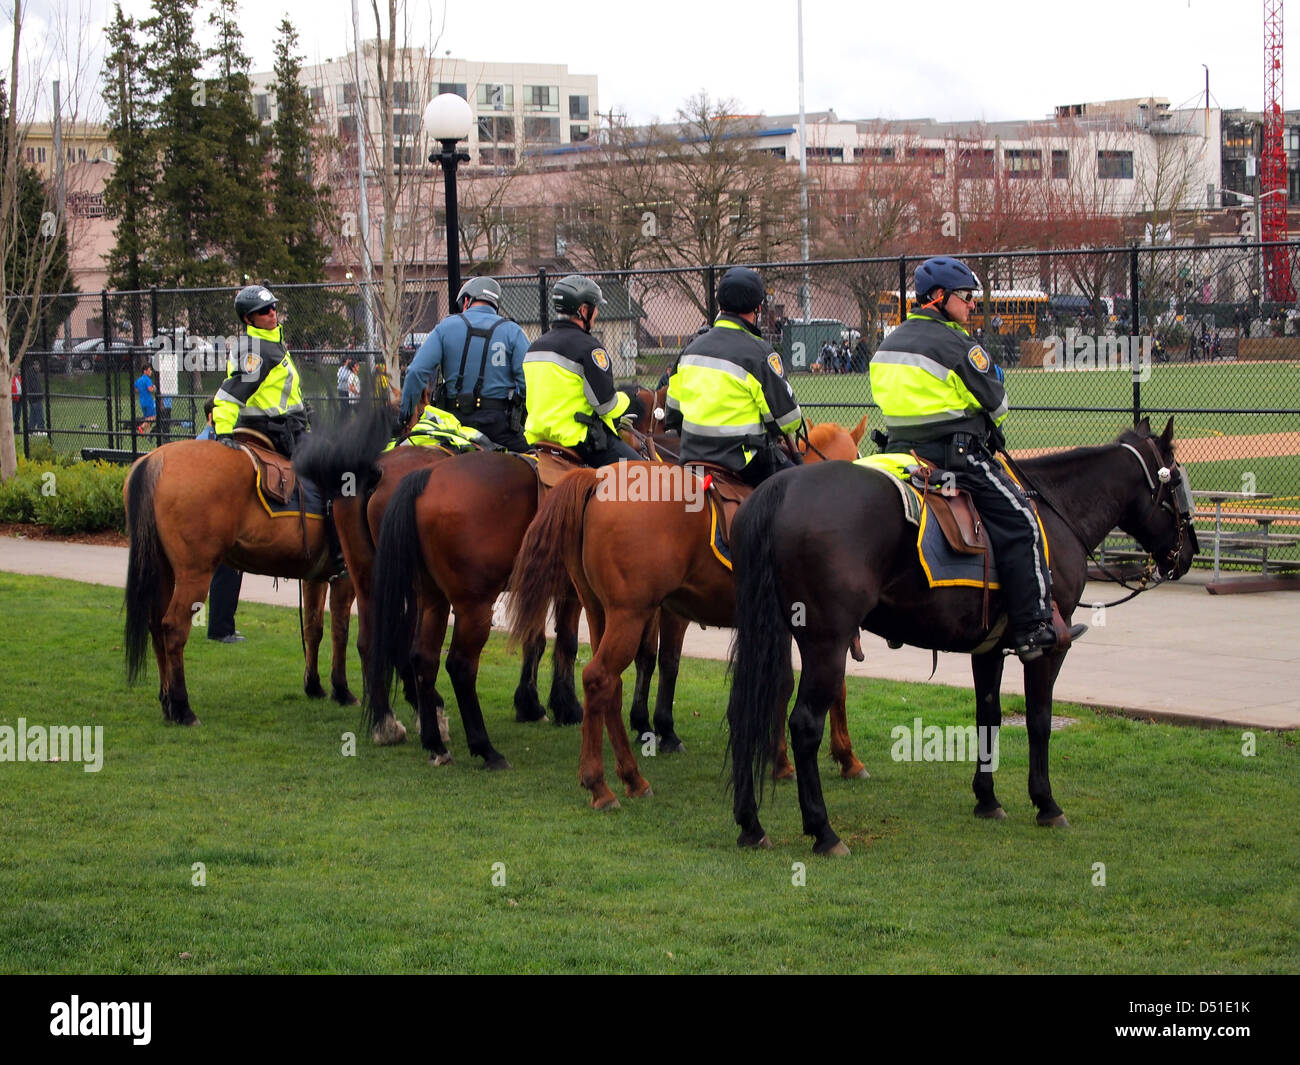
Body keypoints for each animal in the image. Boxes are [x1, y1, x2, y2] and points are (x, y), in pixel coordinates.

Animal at [123, 439, 357, 727]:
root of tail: (156, 458)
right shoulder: (347, 579)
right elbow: (341, 632)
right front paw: (341, 689)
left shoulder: (316, 579)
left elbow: (313, 629)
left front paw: (313, 685)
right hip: (195, 574)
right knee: (173, 628)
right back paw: (182, 707)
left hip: (162, 570)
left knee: (156, 626)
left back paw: (167, 702)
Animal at [506, 417, 870, 810]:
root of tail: (597, 479)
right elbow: (827, 686)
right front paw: (843, 757)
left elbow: (781, 682)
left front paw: (782, 761)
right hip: (629, 615)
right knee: (598, 678)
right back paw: (599, 784)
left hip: (597, 610)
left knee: (609, 685)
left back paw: (632, 777)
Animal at [725, 417, 1199, 855]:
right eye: (1177, 482)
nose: (1188, 553)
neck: (1054, 509)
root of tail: (780, 489)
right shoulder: (1048, 649)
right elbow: (1039, 720)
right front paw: (1046, 803)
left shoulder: (989, 650)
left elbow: (988, 716)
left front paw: (987, 799)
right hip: (827, 643)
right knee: (805, 724)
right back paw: (823, 830)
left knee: (745, 708)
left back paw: (751, 824)